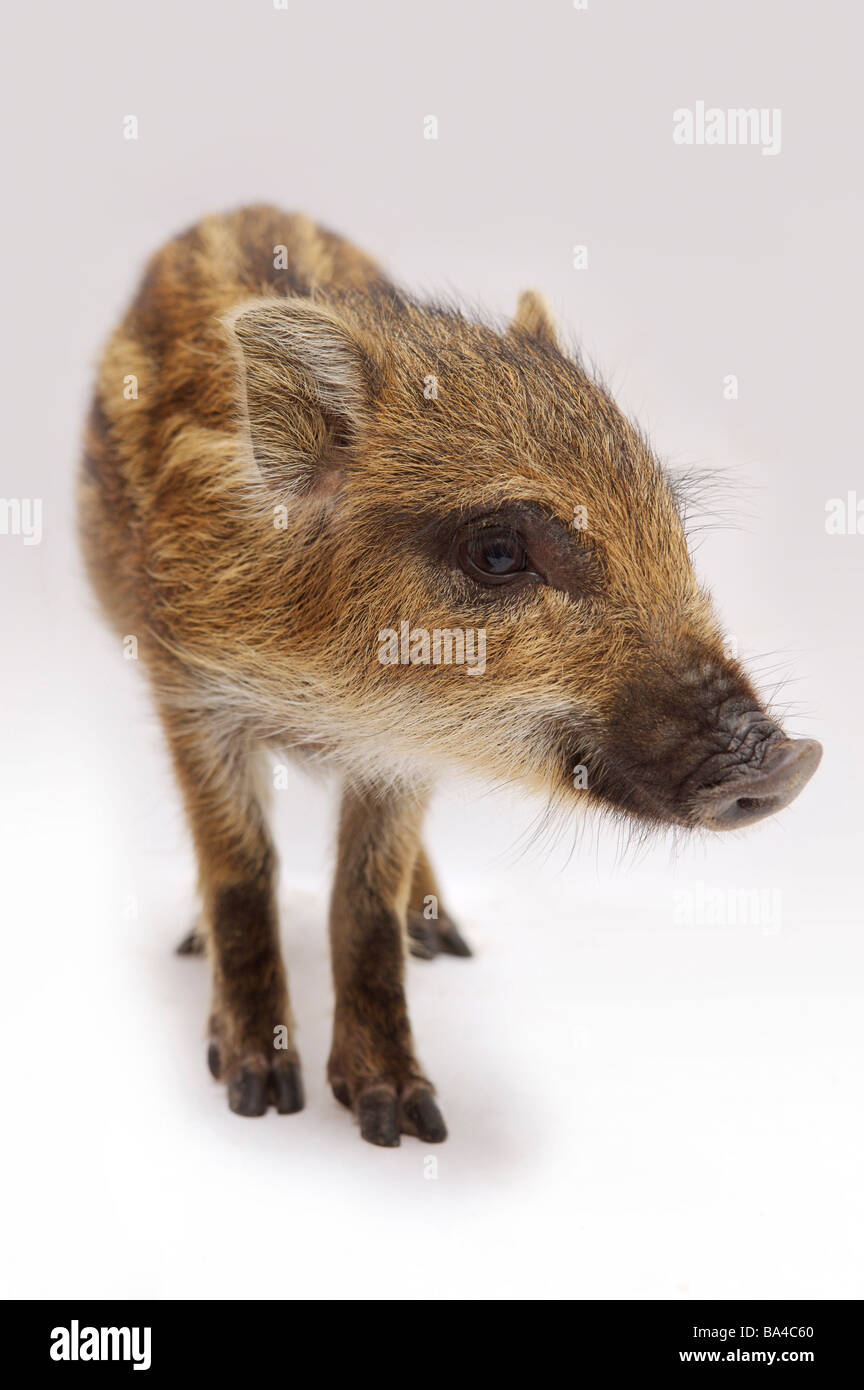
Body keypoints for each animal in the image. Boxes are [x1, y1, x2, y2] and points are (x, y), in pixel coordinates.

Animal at [79, 205, 822, 1147]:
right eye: (498, 551)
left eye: (667, 523)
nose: (790, 762)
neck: (329, 699)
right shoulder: (190, 693)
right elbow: (243, 867)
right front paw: (258, 1093)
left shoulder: (402, 756)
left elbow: (364, 896)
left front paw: (402, 1119)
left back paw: (440, 937)